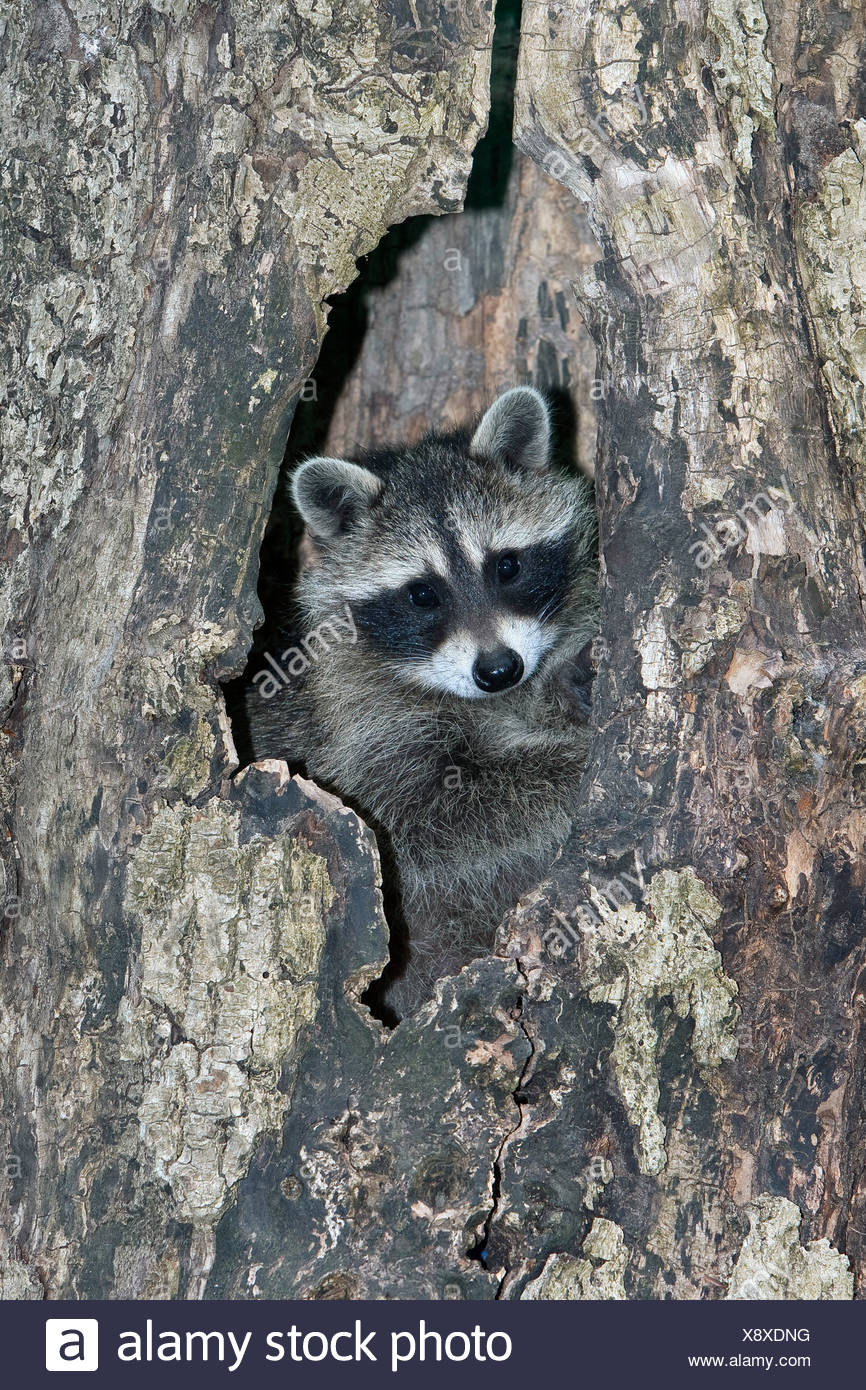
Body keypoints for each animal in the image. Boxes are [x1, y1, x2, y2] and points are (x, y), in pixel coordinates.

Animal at [244, 387, 598, 1019]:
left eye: (507, 565)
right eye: (423, 594)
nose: (499, 670)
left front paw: (564, 688)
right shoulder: (357, 727)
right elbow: (435, 806)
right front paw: (576, 761)